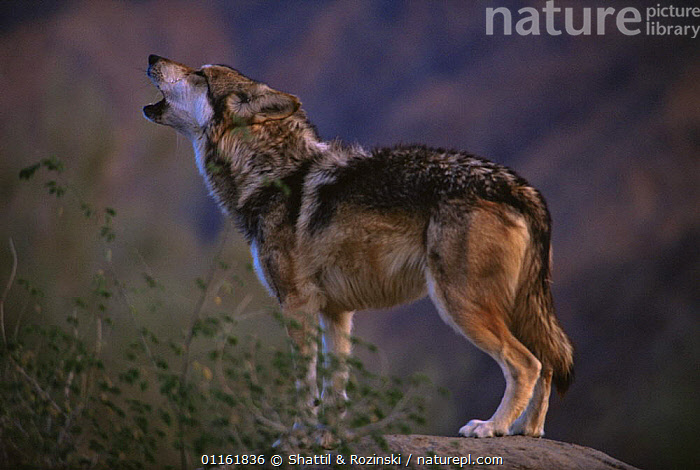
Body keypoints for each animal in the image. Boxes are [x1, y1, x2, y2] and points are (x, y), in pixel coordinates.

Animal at [143, 55, 574, 438]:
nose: (151, 57)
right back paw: (527, 430)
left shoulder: (297, 305)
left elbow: (305, 384)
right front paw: (327, 436)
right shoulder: (336, 312)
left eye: (200, 75)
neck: (274, 174)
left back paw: (491, 427)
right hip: (513, 306)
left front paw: (296, 436)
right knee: (549, 362)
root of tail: (521, 187)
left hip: (461, 306)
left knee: (527, 364)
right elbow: (333, 388)